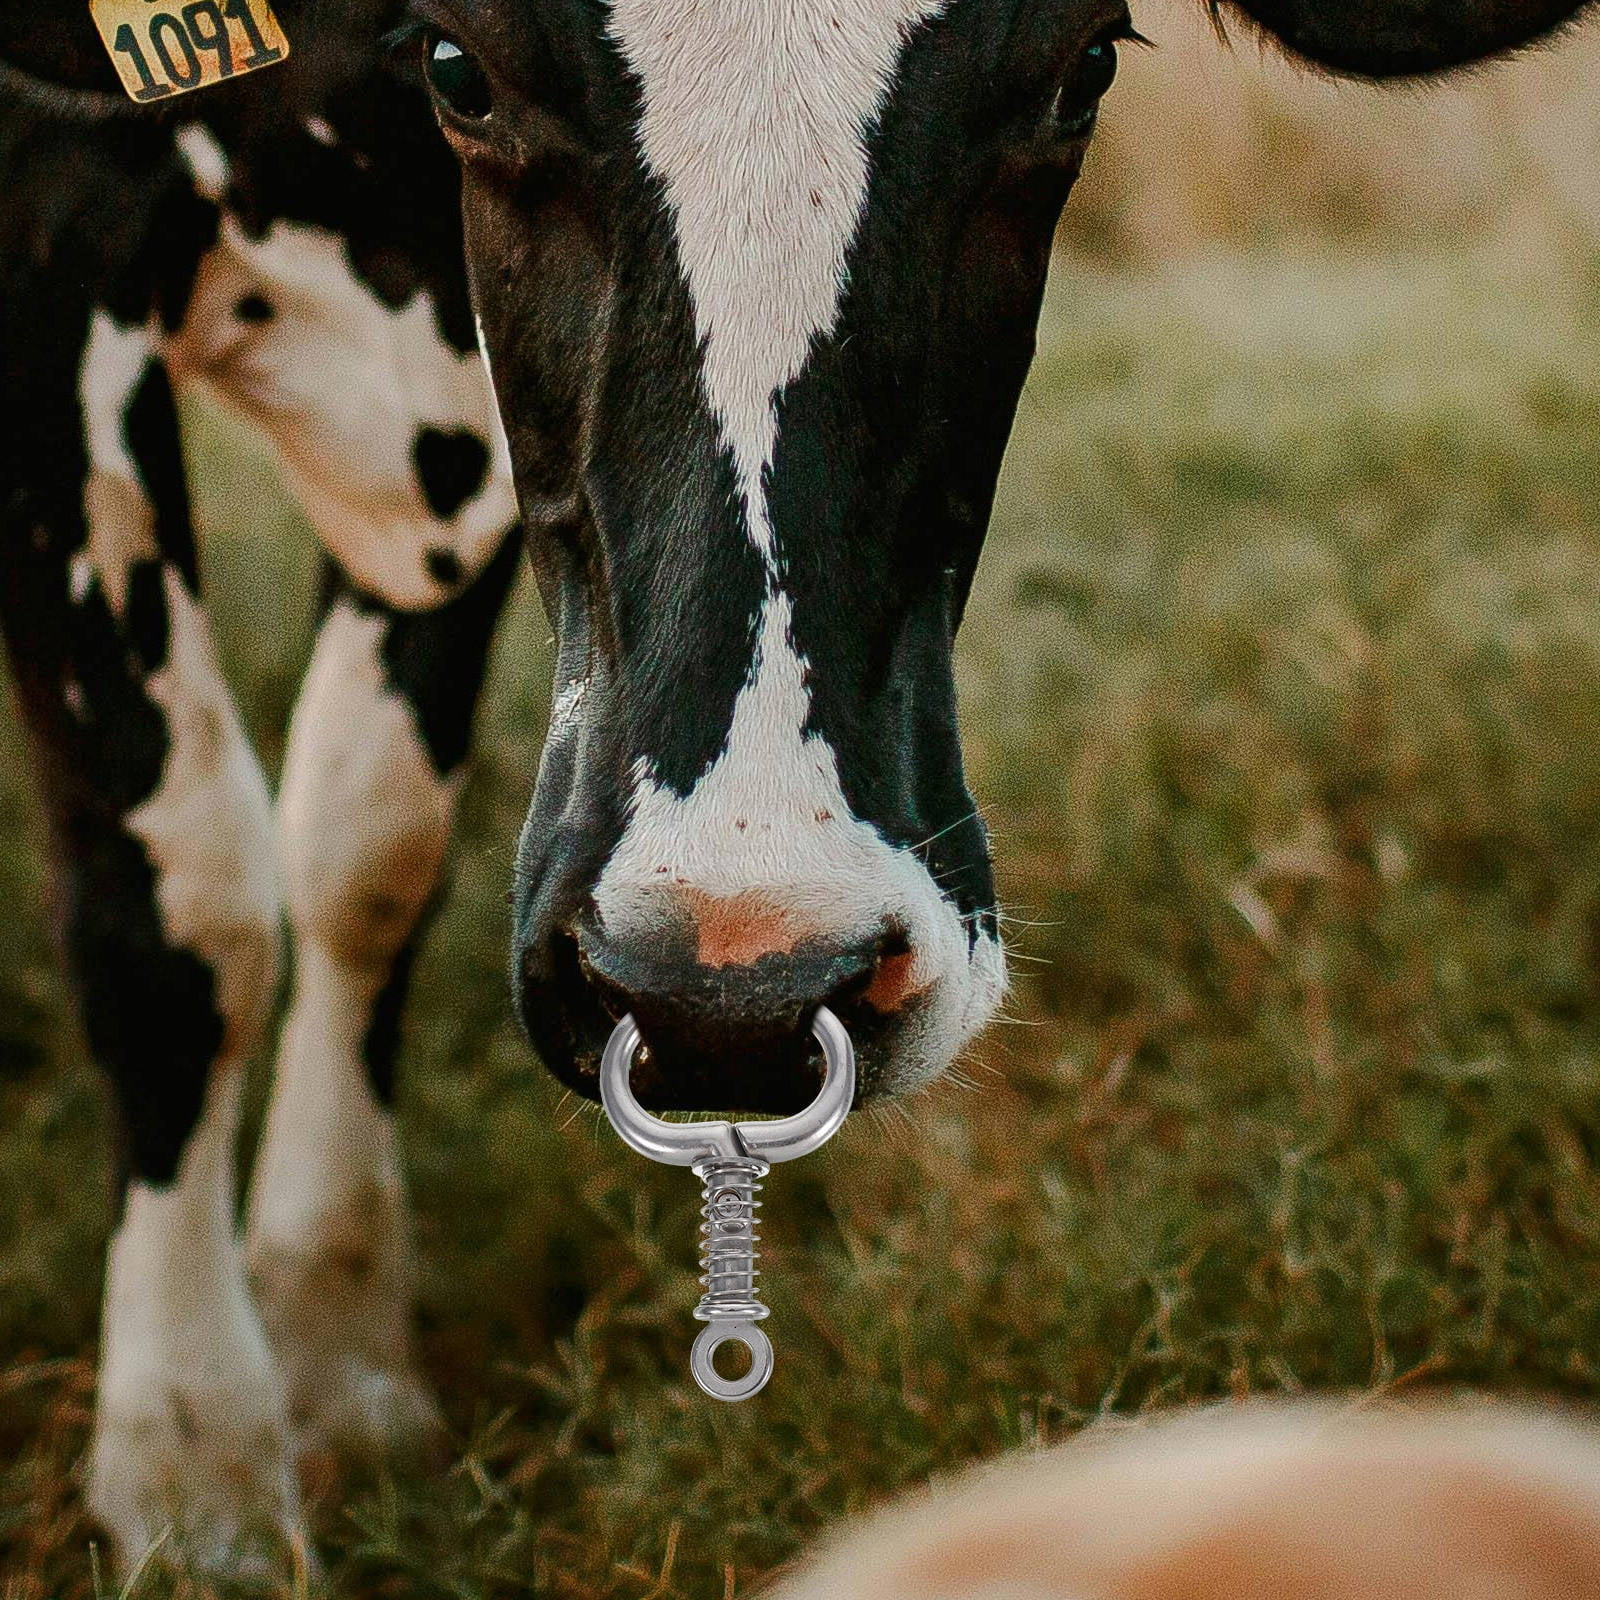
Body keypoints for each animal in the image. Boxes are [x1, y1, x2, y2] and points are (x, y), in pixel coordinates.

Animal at [1, 0, 1594, 1574]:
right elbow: (186, 911)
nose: (730, 993)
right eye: (459, 67)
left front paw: (336, 1346)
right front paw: (193, 1454)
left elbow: (368, 848)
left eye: (1079, 69)